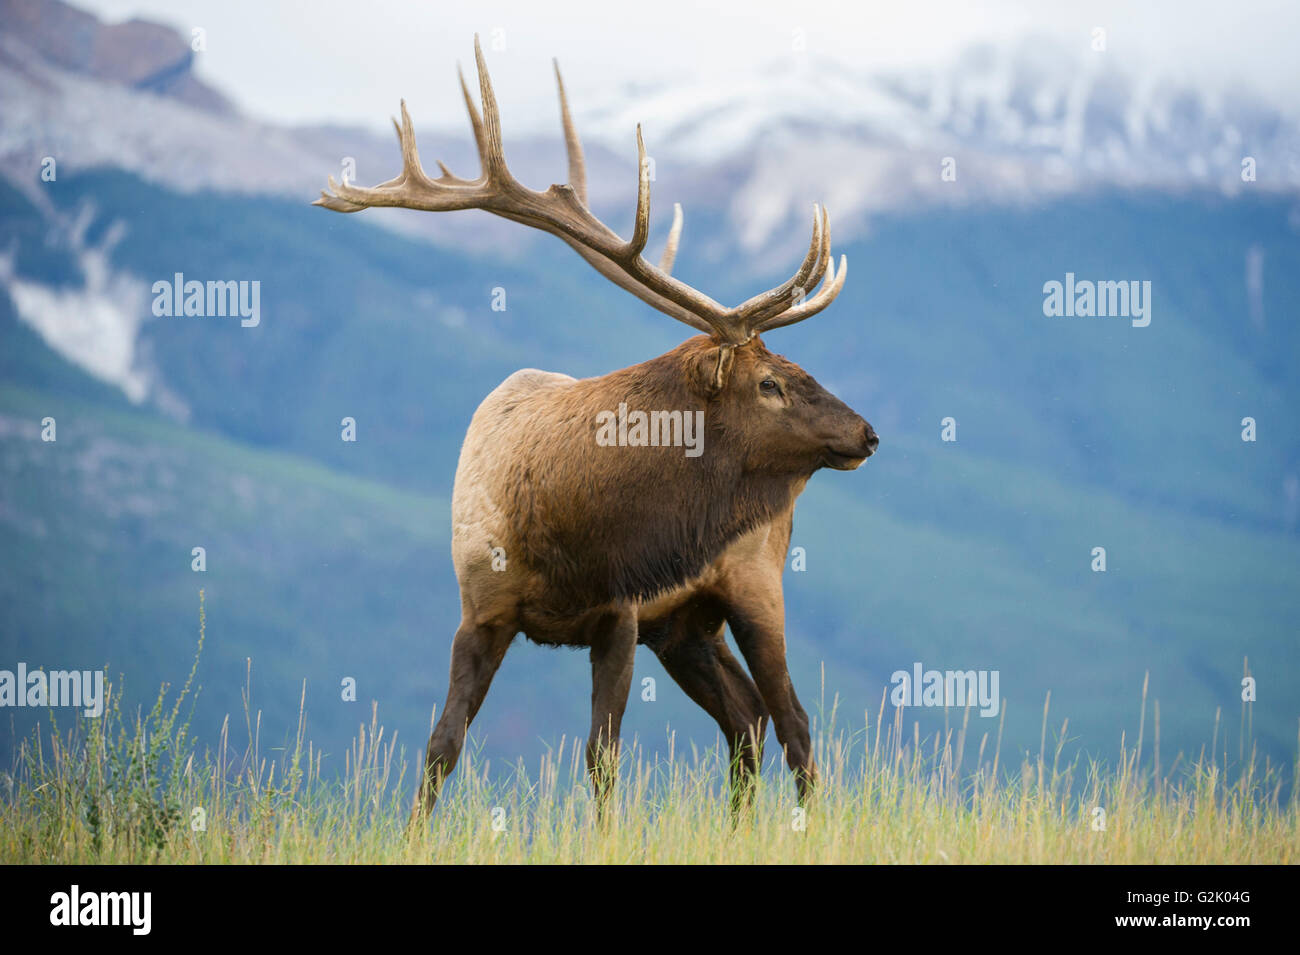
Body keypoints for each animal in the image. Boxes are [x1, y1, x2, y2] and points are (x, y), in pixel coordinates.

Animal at [315, 37, 878, 822]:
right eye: (768, 383)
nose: (866, 433)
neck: (567, 532)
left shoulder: (621, 615)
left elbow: (601, 756)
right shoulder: (482, 609)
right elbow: (442, 745)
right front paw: (412, 832)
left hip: (751, 582)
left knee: (791, 717)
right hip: (687, 625)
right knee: (749, 716)